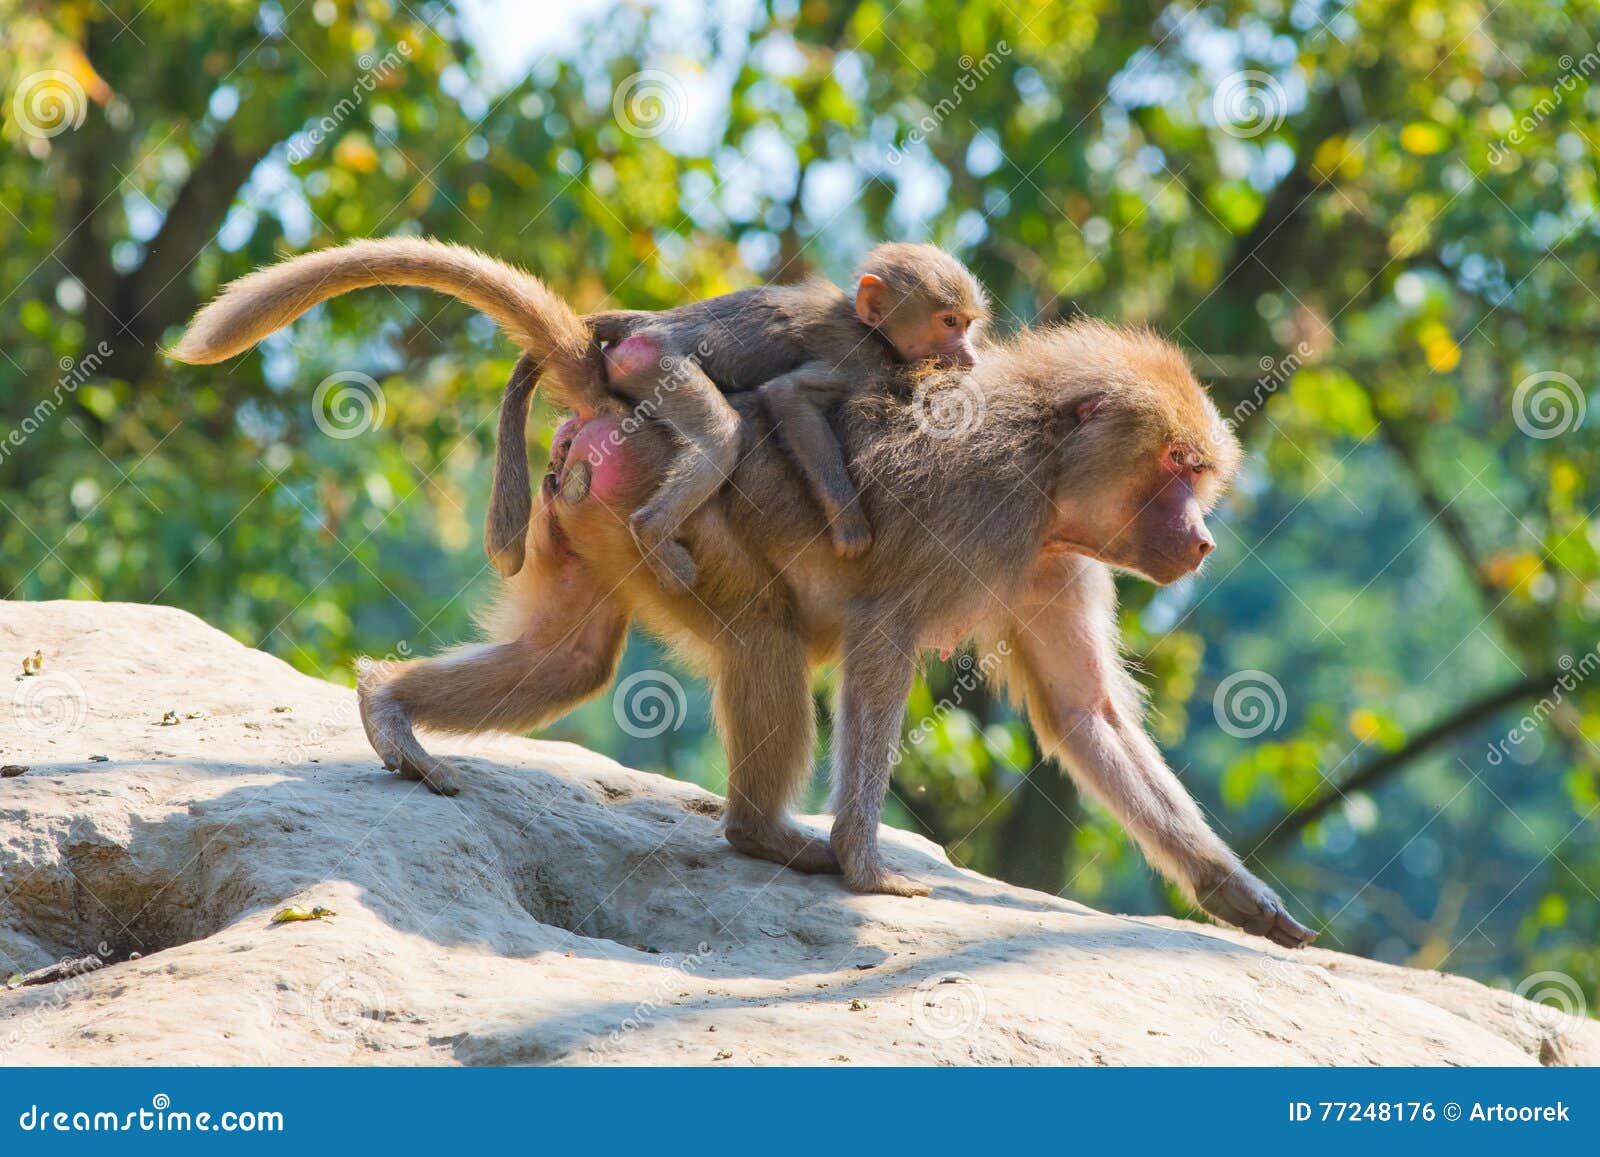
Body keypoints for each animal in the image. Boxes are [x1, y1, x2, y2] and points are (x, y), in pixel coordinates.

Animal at [514, 242, 990, 592]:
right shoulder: (860, 358)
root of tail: (652, 321)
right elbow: (787, 395)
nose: (969, 358)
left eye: (967, 324)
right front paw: (850, 523)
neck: (869, 327)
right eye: (948, 322)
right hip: (652, 362)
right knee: (721, 436)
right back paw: (652, 532)